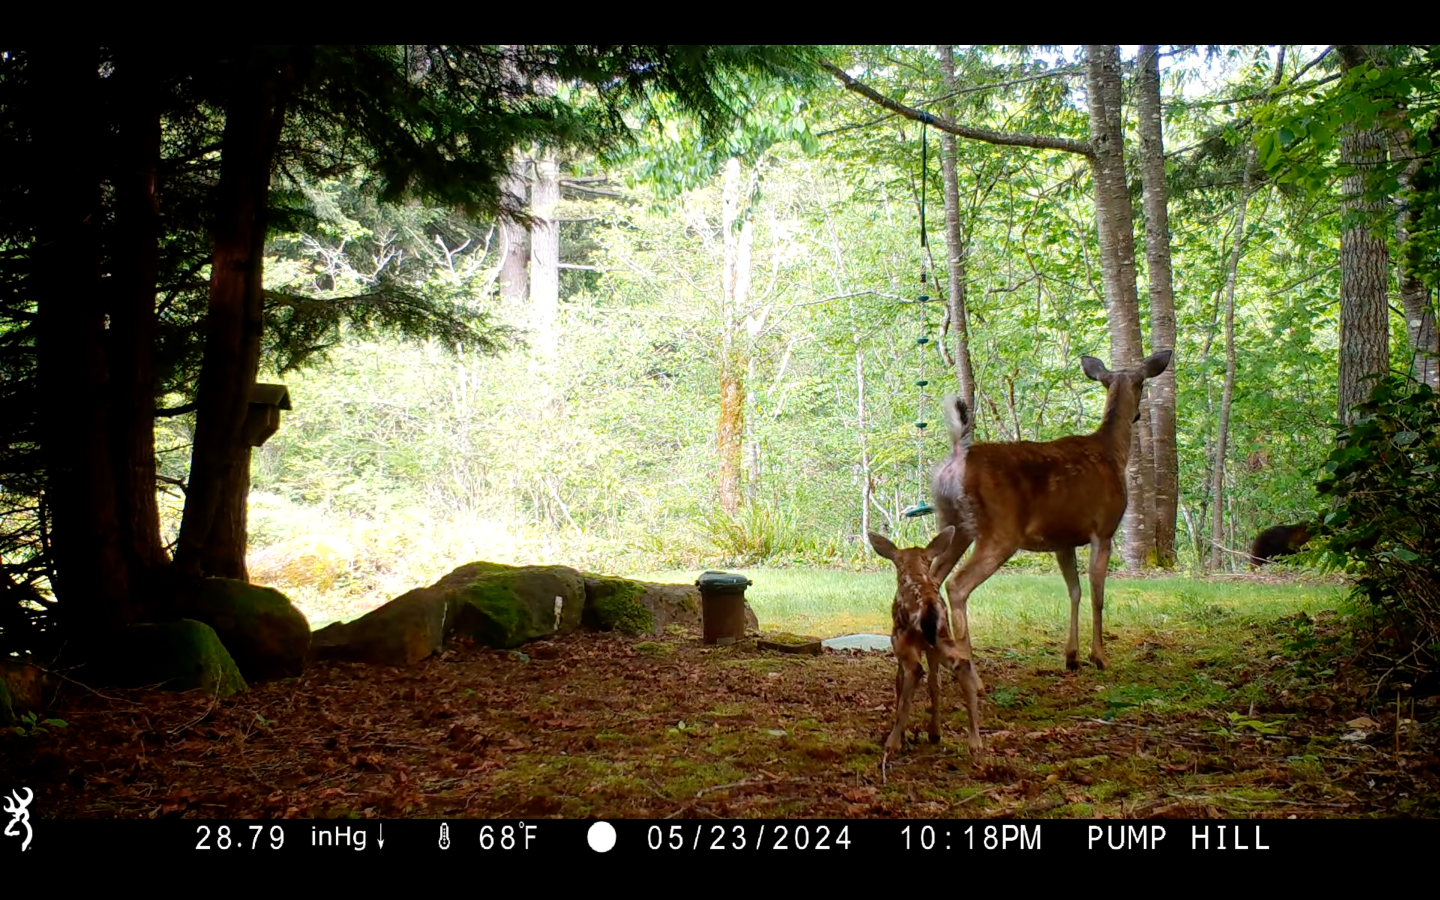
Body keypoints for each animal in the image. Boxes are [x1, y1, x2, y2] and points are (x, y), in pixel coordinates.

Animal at [869, 526, 982, 762]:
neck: (915, 572)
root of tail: (928, 606)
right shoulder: (930, 648)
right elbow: (935, 683)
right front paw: (935, 733)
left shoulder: (905, 642)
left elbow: (900, 681)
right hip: (943, 637)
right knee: (962, 665)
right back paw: (975, 742)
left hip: (900, 637)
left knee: (914, 670)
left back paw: (892, 743)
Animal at [927, 350, 1173, 674]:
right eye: (1142, 384)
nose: (1138, 415)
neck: (1113, 452)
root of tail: (958, 456)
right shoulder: (1104, 529)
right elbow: (1097, 593)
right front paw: (1099, 656)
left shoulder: (1063, 541)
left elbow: (1074, 591)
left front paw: (1072, 656)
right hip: (1000, 530)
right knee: (956, 585)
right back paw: (967, 662)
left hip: (952, 522)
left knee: (932, 576)